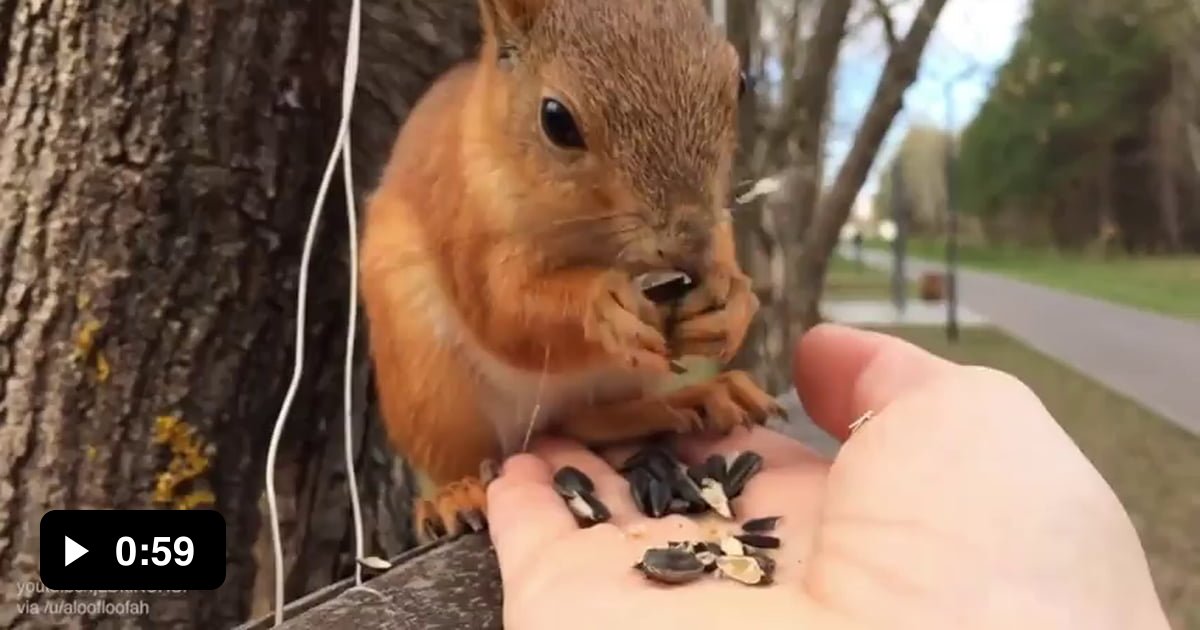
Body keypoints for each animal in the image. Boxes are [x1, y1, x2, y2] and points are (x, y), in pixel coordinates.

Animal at [360, 0, 782, 542]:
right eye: (556, 120)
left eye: (740, 83)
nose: (688, 241)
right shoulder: (466, 217)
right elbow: (503, 311)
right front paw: (603, 303)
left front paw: (731, 301)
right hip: (427, 379)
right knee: (461, 451)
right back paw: (455, 496)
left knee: (582, 421)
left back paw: (695, 397)